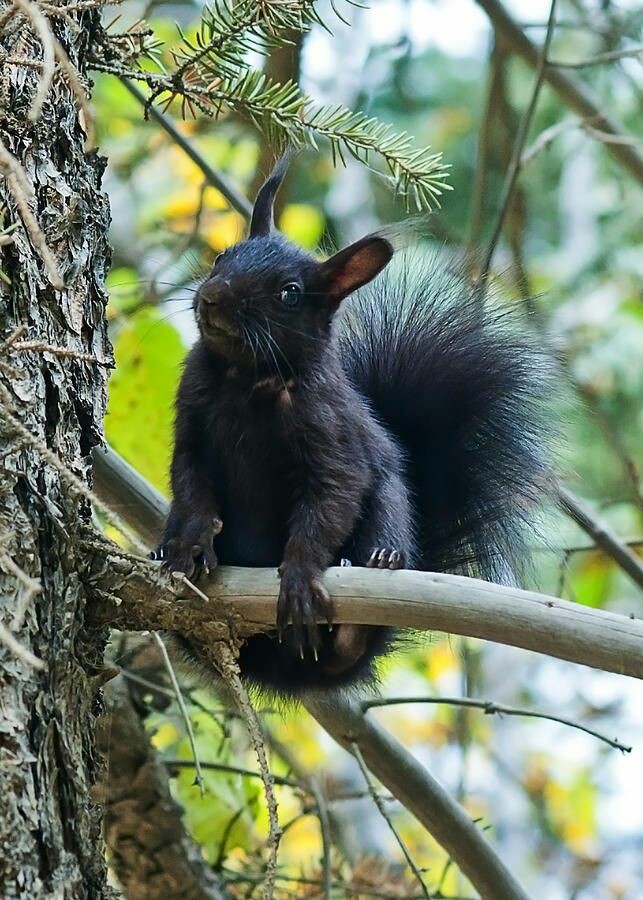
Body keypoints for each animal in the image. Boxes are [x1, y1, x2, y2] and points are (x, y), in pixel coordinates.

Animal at [152, 154, 550, 697]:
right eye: (222, 257)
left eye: (290, 294)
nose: (212, 296)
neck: (248, 379)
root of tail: (291, 671)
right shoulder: (192, 418)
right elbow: (192, 484)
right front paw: (188, 544)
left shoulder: (333, 438)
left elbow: (329, 502)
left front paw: (300, 575)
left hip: (390, 503)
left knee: (383, 524)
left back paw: (373, 574)